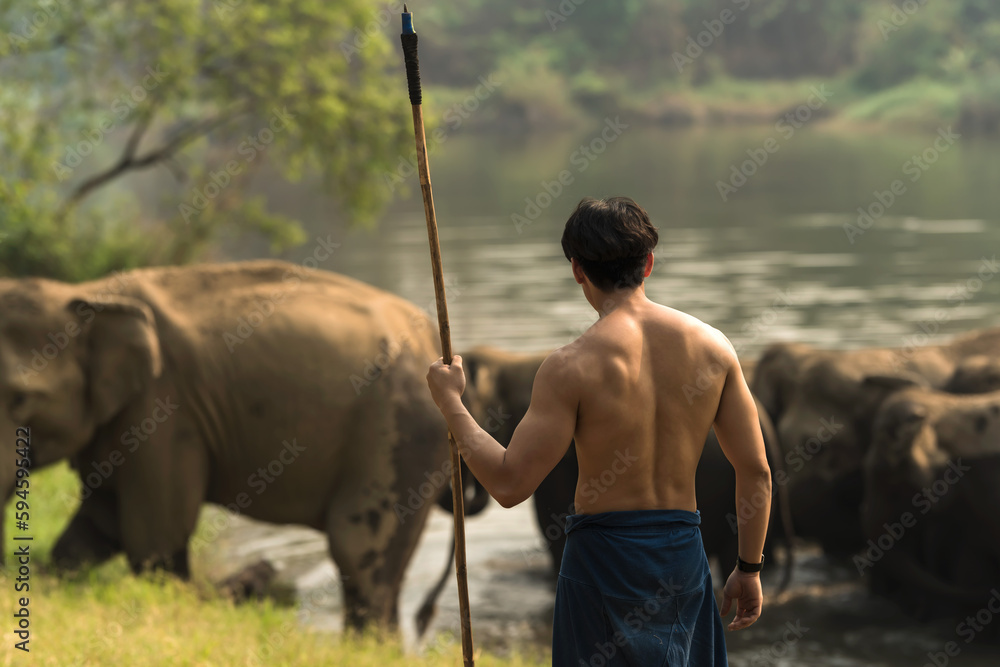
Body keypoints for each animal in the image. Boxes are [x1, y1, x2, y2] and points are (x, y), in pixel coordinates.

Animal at [0, 259, 455, 630]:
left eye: (19, 399)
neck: (90, 292)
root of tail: (436, 342)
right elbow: (99, 525)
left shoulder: (164, 408)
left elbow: (154, 536)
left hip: (397, 434)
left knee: (358, 549)